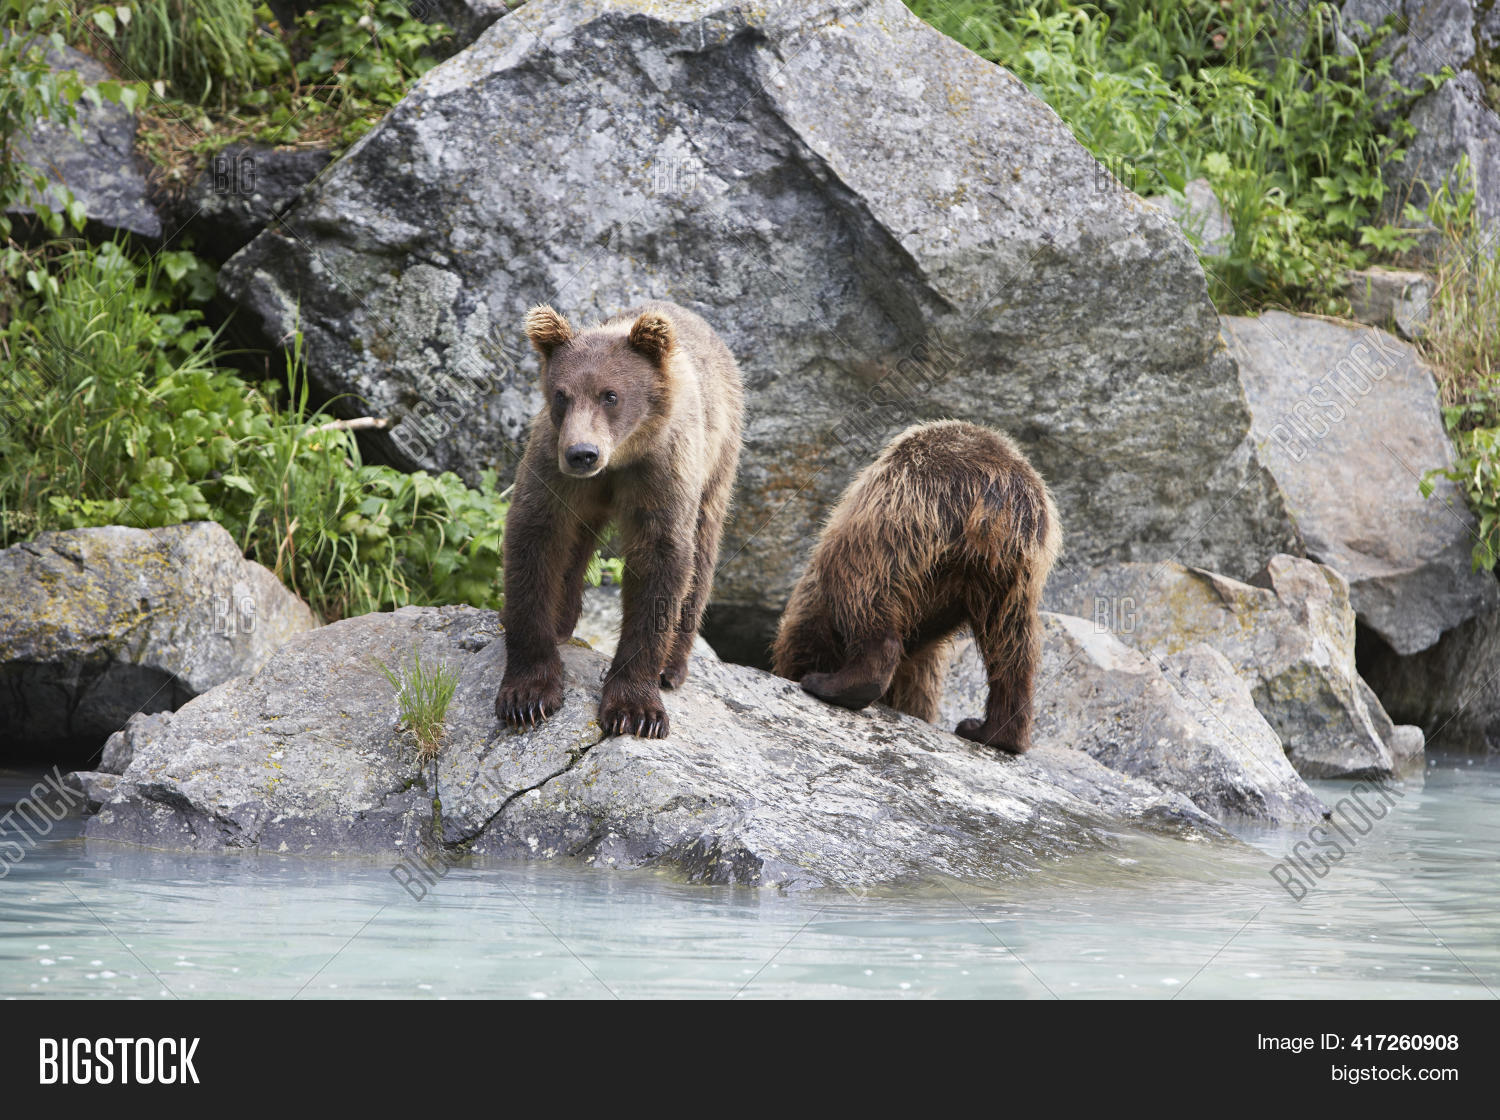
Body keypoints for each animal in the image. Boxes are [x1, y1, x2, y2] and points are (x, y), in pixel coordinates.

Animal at [495, 300, 744, 739]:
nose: (582, 453)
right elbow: (536, 539)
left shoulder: (661, 471)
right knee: (575, 545)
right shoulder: (552, 467)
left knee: (702, 551)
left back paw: (672, 666)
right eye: (561, 395)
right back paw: (561, 622)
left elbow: (661, 563)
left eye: (610, 395)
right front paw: (527, 695)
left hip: (717, 460)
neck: (620, 458)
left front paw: (636, 710)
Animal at [771, 420, 1061, 754]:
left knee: (857, 584)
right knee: (1011, 644)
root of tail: (993, 498)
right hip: (1010, 573)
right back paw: (992, 731)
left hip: (902, 512)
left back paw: (833, 683)